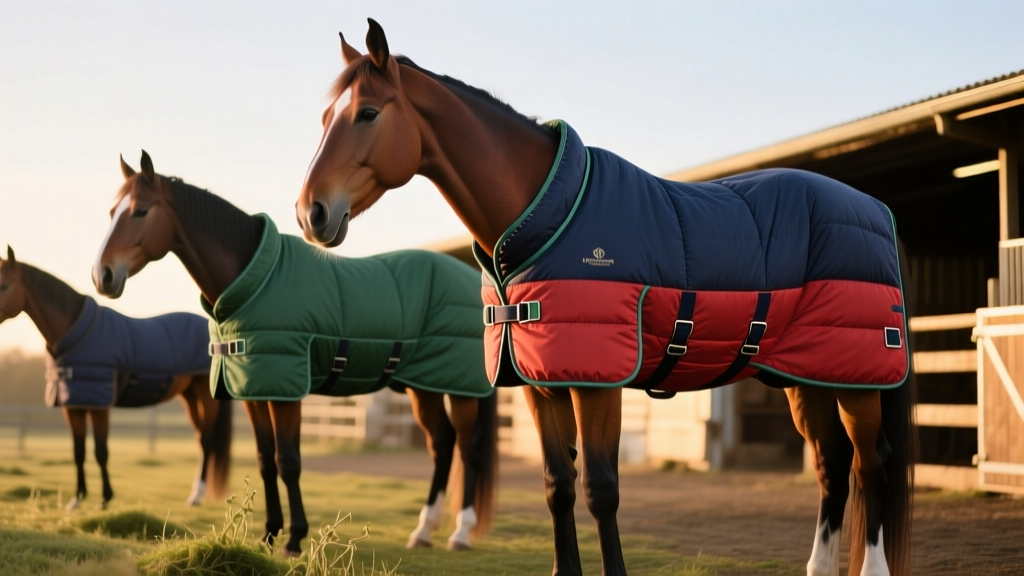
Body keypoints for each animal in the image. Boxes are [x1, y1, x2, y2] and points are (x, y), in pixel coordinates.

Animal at [0, 247, 231, 510]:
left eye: (4, 285)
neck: (76, 335)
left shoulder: (99, 406)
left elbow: (101, 451)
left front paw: (104, 499)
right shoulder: (73, 406)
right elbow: (78, 452)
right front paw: (76, 500)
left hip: (205, 395)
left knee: (207, 441)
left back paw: (196, 496)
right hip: (189, 395)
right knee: (200, 439)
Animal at [92, 151, 499, 555]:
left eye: (141, 211)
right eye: (111, 211)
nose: (102, 276)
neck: (256, 280)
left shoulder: (286, 392)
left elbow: (288, 461)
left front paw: (293, 538)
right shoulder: (255, 393)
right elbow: (265, 461)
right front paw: (269, 534)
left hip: (459, 389)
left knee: (468, 445)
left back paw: (460, 533)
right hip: (424, 388)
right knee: (442, 444)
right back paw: (423, 530)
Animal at [294, 20, 918, 576]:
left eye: (368, 113)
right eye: (325, 117)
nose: (311, 213)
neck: (547, 218)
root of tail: (874, 208)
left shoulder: (597, 385)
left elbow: (600, 489)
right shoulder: (541, 386)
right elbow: (558, 487)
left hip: (856, 382)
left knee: (870, 464)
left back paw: (872, 568)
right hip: (803, 378)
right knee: (832, 463)